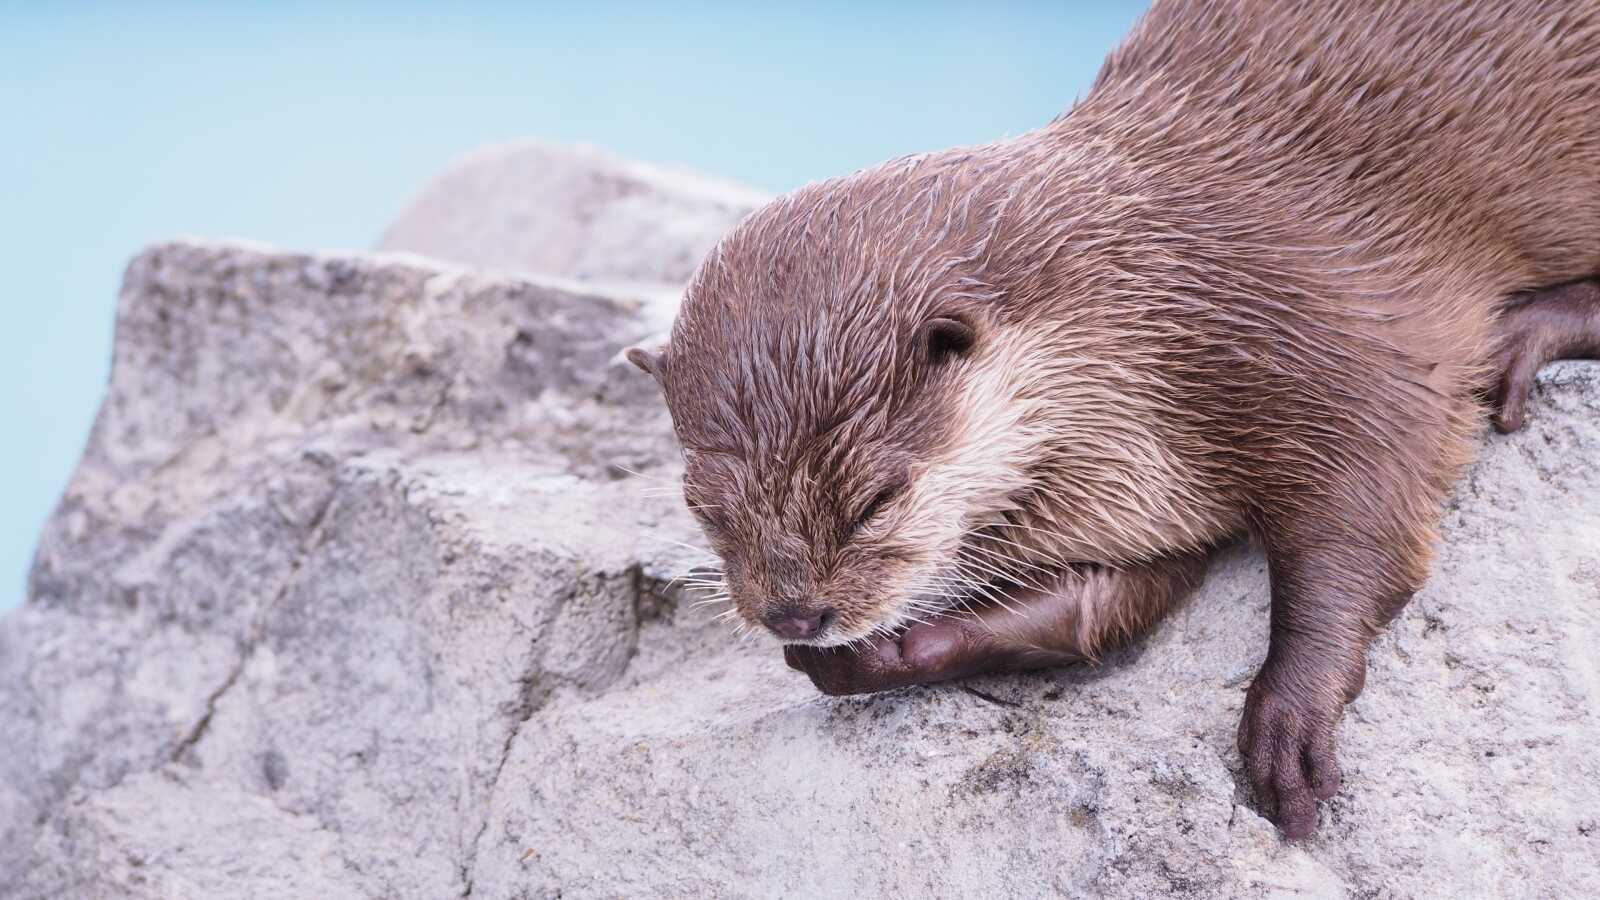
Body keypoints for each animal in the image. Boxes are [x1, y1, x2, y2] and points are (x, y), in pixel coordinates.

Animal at [627, 0, 1600, 838]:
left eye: (877, 500)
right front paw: (872, 656)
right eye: (703, 511)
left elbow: (1362, 524)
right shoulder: (1137, 500)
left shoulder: (1342, 341)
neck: (1159, 295)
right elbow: (1097, 610)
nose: (794, 614)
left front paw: (1290, 714)